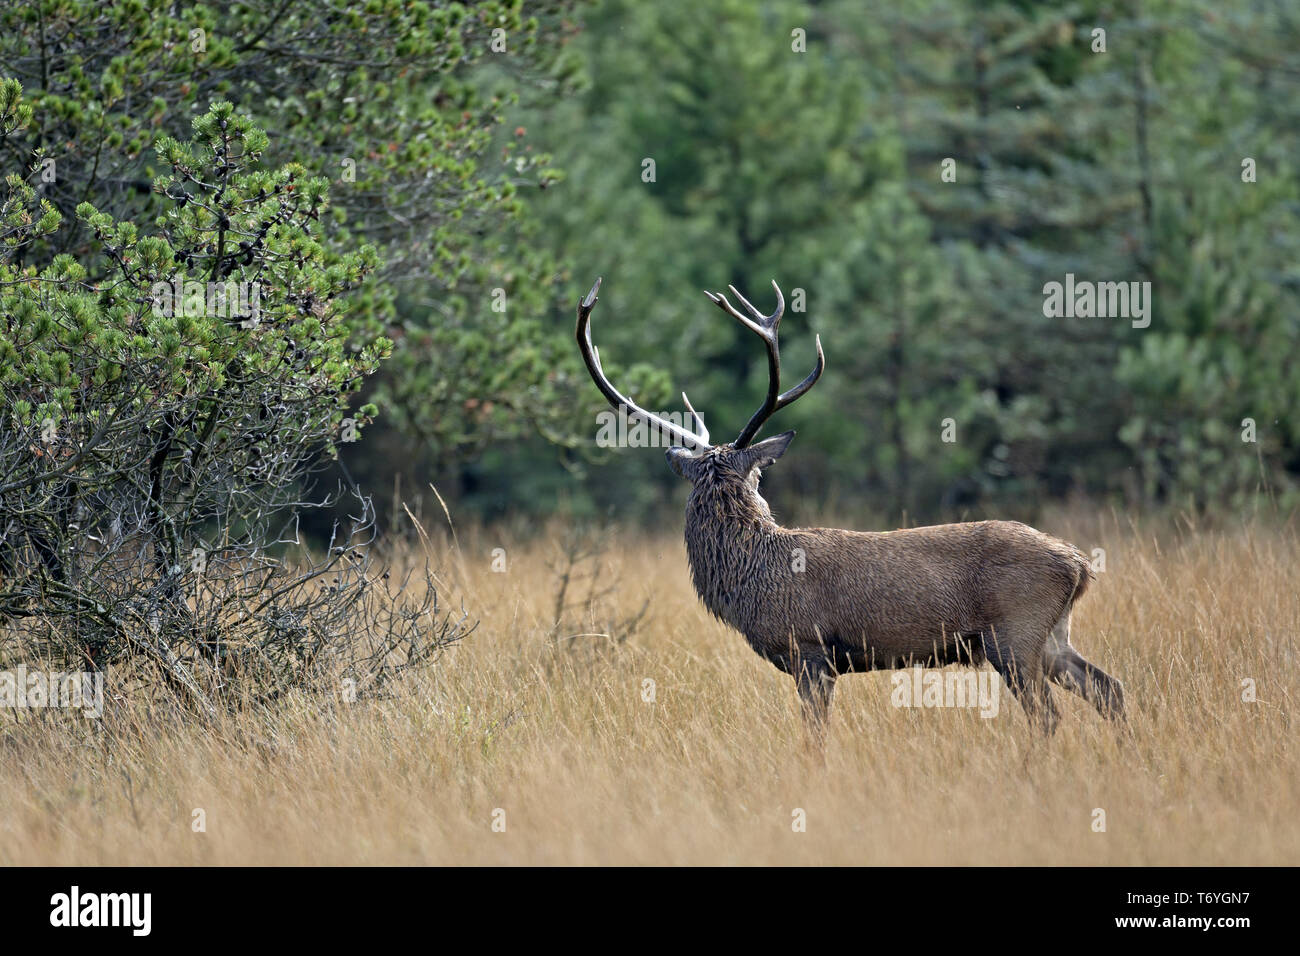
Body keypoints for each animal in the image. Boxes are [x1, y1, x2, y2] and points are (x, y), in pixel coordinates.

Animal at [576, 277, 1125, 741]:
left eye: (756, 476)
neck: (755, 572)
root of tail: (1078, 565)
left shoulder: (811, 650)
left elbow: (815, 735)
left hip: (1014, 633)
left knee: (1049, 716)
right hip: (1050, 636)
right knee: (1109, 688)